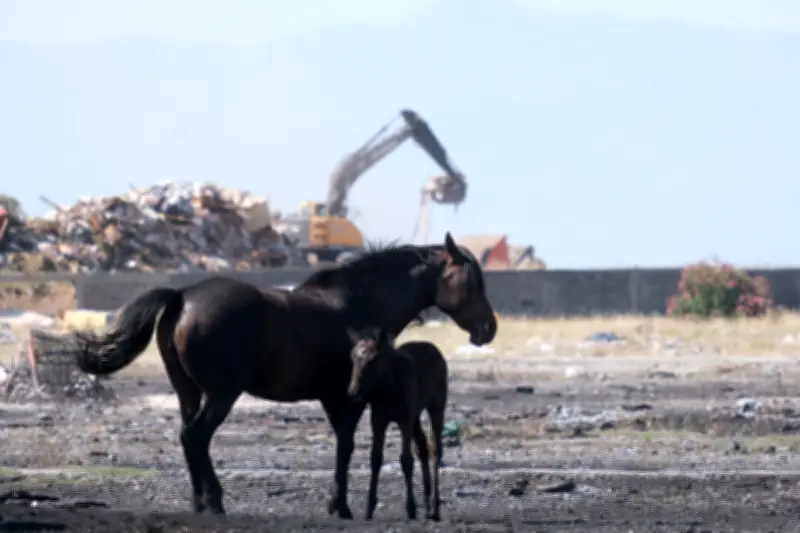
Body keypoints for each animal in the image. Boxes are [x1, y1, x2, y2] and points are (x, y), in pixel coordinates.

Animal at [346, 327, 448, 521]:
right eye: (352, 357)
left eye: (372, 359)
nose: (353, 392)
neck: (388, 387)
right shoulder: (378, 421)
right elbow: (375, 458)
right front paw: (369, 508)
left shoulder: (404, 420)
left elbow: (406, 459)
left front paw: (411, 508)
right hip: (415, 415)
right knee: (422, 446)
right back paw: (427, 504)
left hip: (436, 408)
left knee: (435, 449)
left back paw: (435, 506)